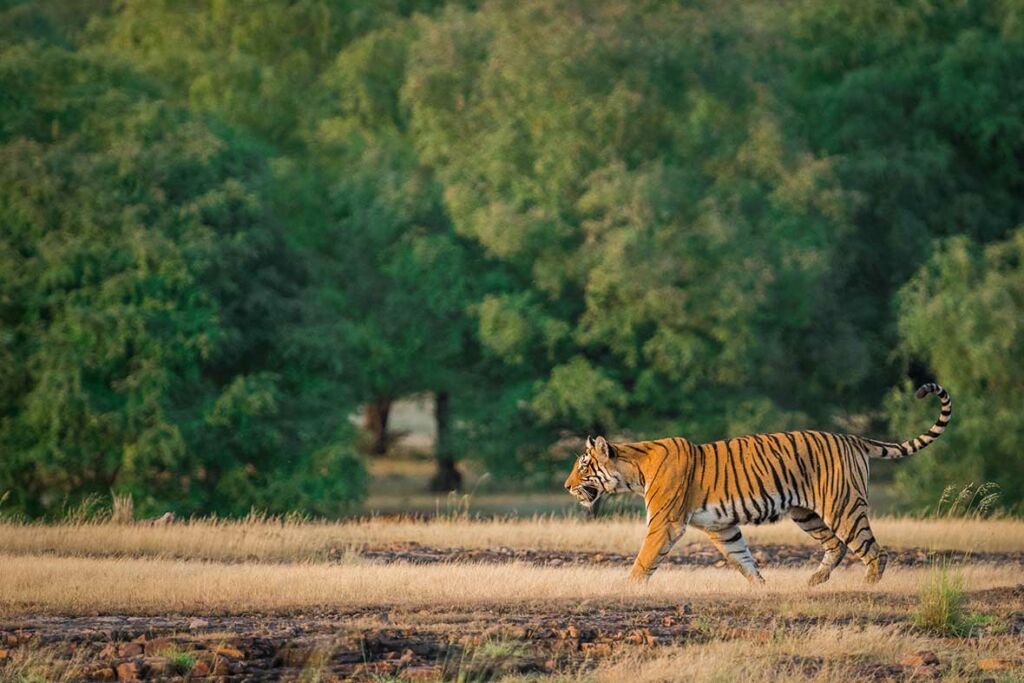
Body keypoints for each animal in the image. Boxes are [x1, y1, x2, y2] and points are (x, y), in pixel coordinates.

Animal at [563, 383, 951, 585]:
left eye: (583, 466)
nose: (567, 486)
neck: (634, 469)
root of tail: (851, 437)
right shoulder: (721, 527)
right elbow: (742, 559)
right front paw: (761, 589)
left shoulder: (664, 522)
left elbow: (645, 558)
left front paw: (628, 588)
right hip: (806, 513)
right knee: (837, 546)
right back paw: (814, 581)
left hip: (842, 506)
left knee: (873, 551)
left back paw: (867, 587)